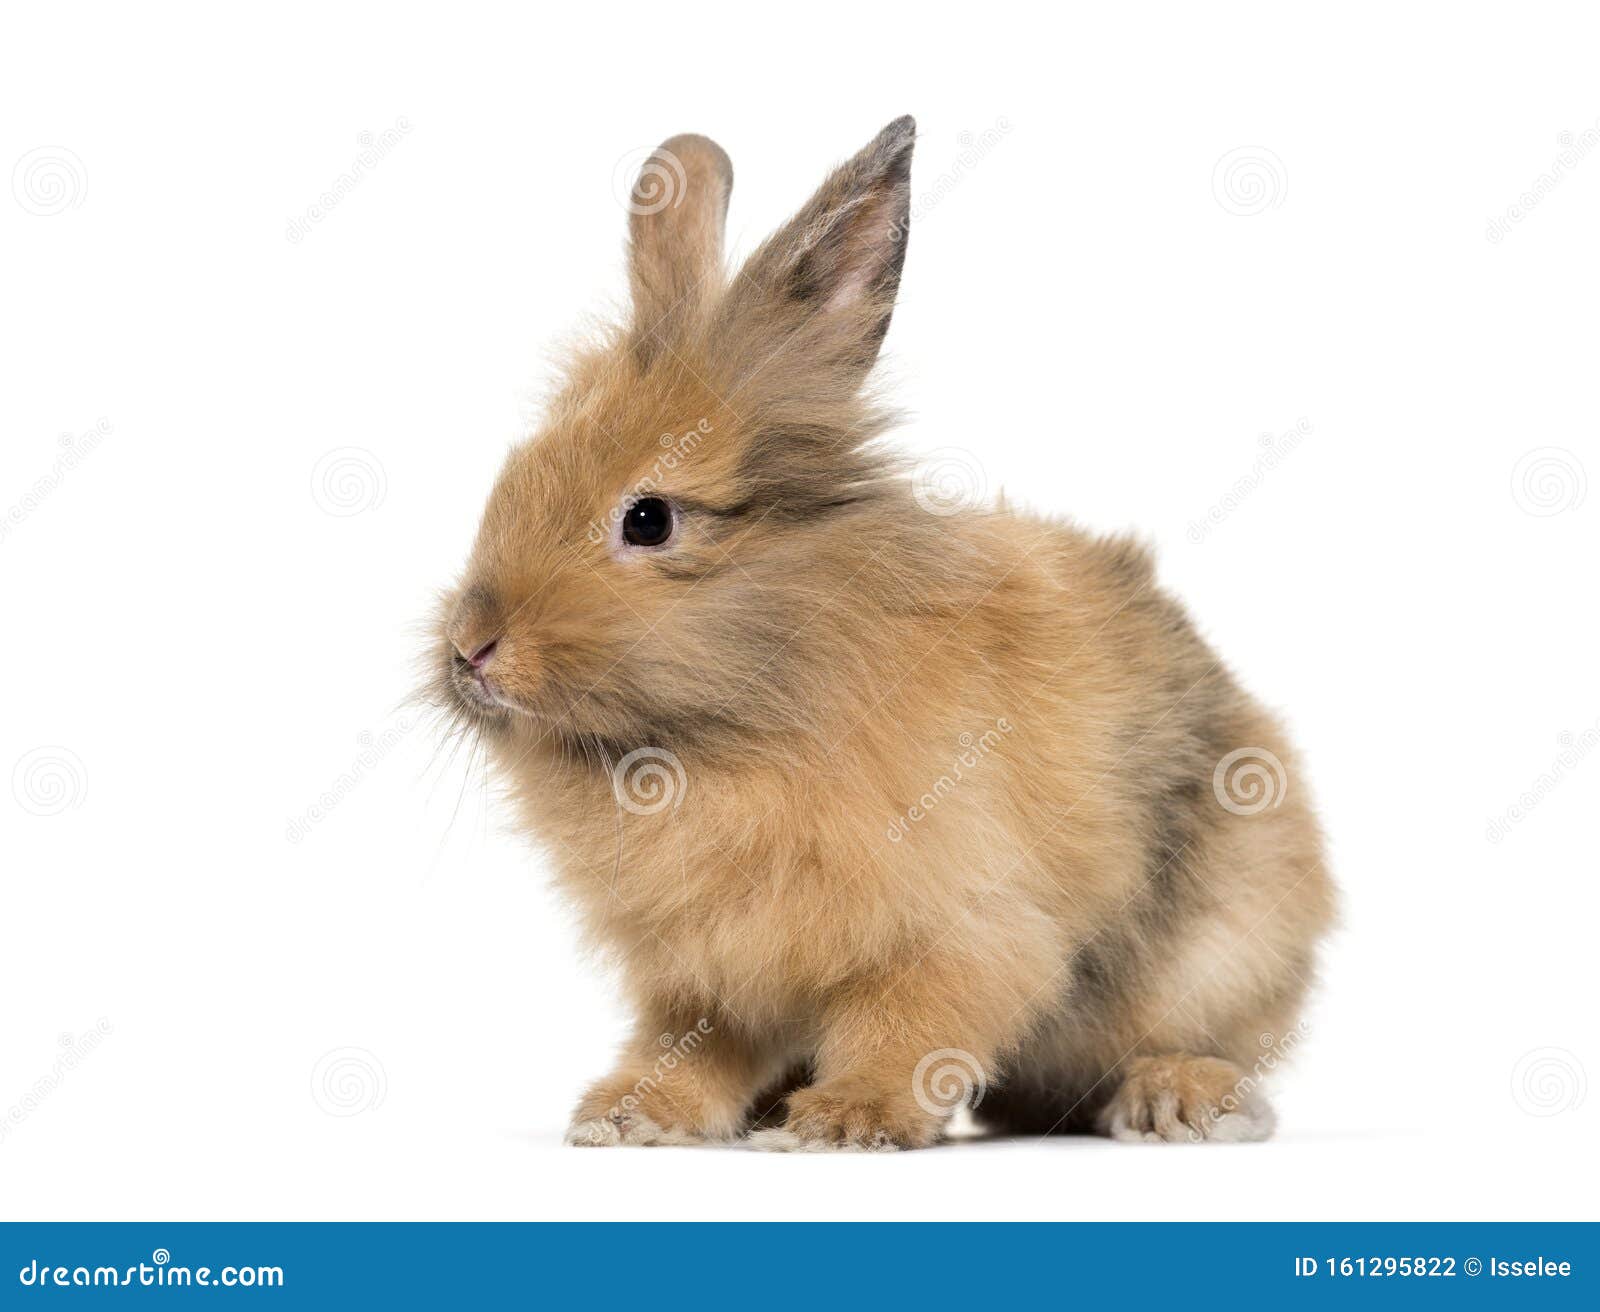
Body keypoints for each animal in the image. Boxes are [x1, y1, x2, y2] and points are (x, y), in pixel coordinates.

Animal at [428, 116, 1335, 1151]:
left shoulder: (958, 929)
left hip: (1223, 940)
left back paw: (1182, 1099)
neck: (726, 731)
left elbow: (908, 1028)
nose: (471, 649)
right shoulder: (704, 970)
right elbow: (691, 1046)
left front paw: (844, 1120)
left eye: (648, 520)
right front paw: (629, 1116)